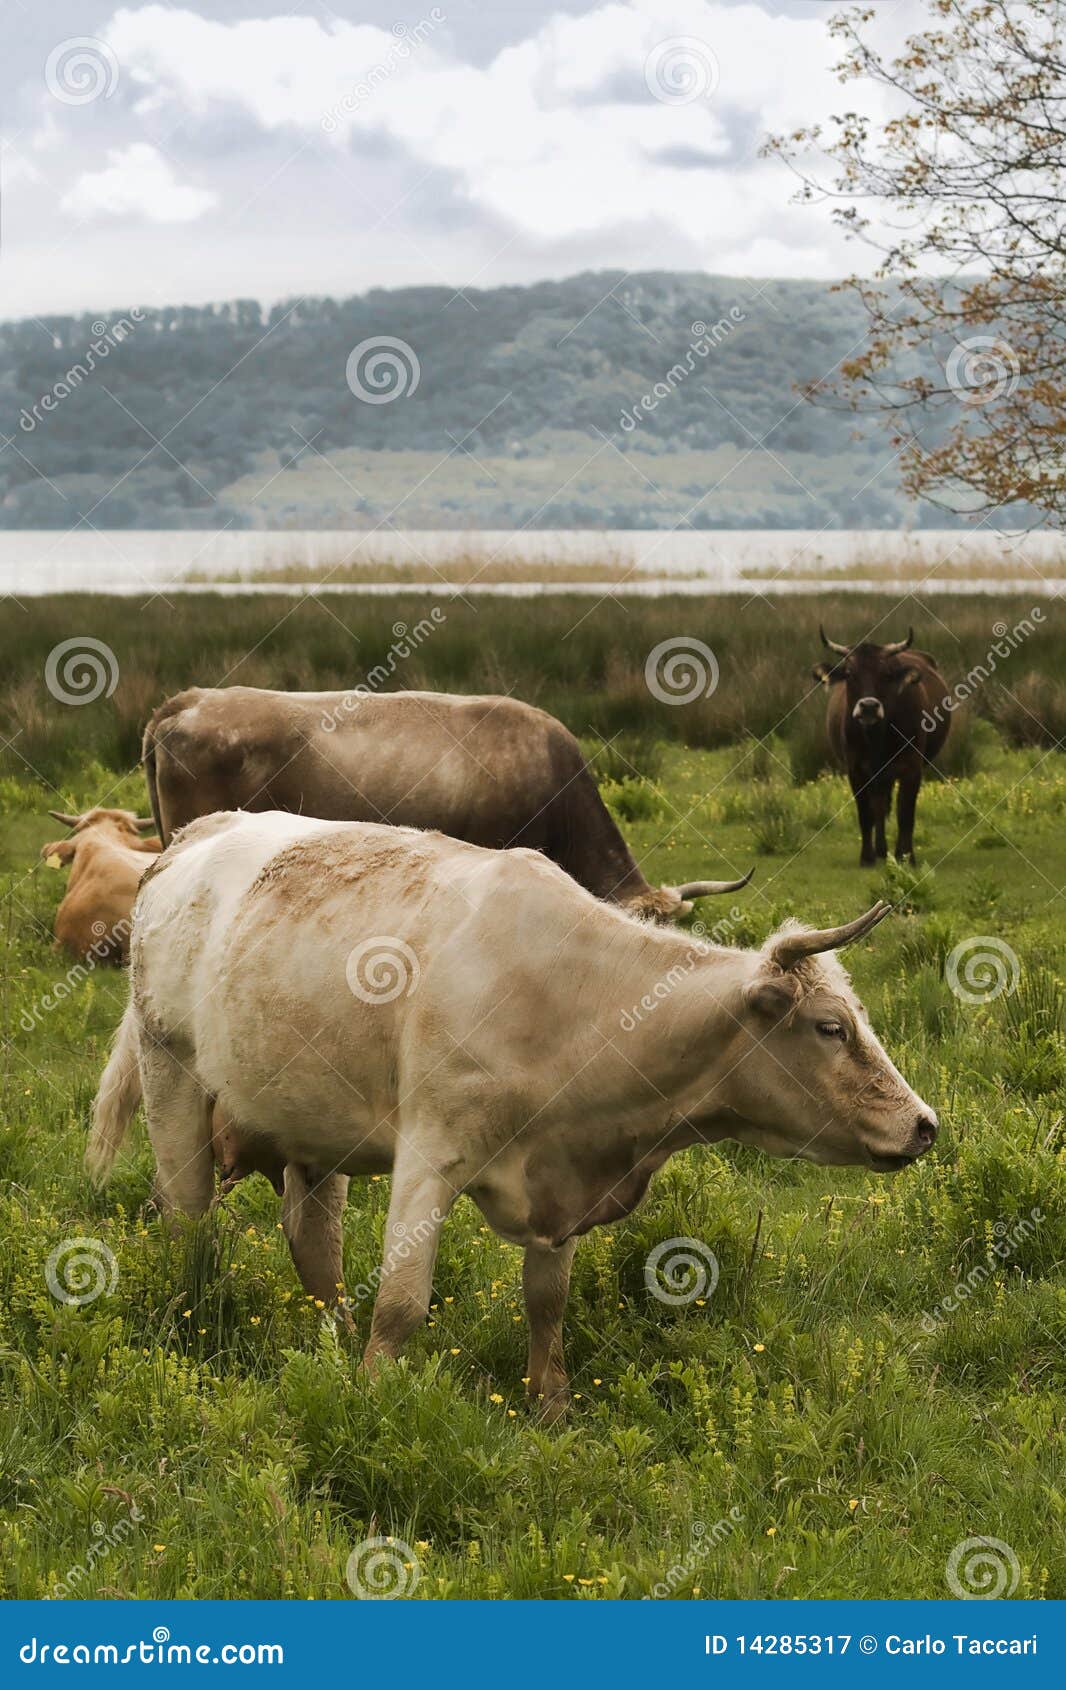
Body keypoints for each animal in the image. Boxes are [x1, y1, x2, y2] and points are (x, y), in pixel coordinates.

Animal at [88, 811, 938, 1420]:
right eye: (829, 1027)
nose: (924, 1123)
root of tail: (195, 834)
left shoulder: (559, 1181)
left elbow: (546, 1301)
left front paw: (550, 1406)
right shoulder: (430, 1156)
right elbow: (402, 1304)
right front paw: (372, 1399)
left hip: (309, 1126)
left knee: (314, 1245)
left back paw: (329, 1345)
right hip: (171, 1074)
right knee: (185, 1215)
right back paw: (196, 1316)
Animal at [813, 628, 950, 866]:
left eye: (885, 674)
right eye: (850, 673)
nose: (868, 706)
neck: (877, 737)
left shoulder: (912, 769)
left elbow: (905, 813)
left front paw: (906, 856)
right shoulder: (856, 771)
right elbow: (865, 814)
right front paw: (867, 857)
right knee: (878, 807)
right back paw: (880, 850)